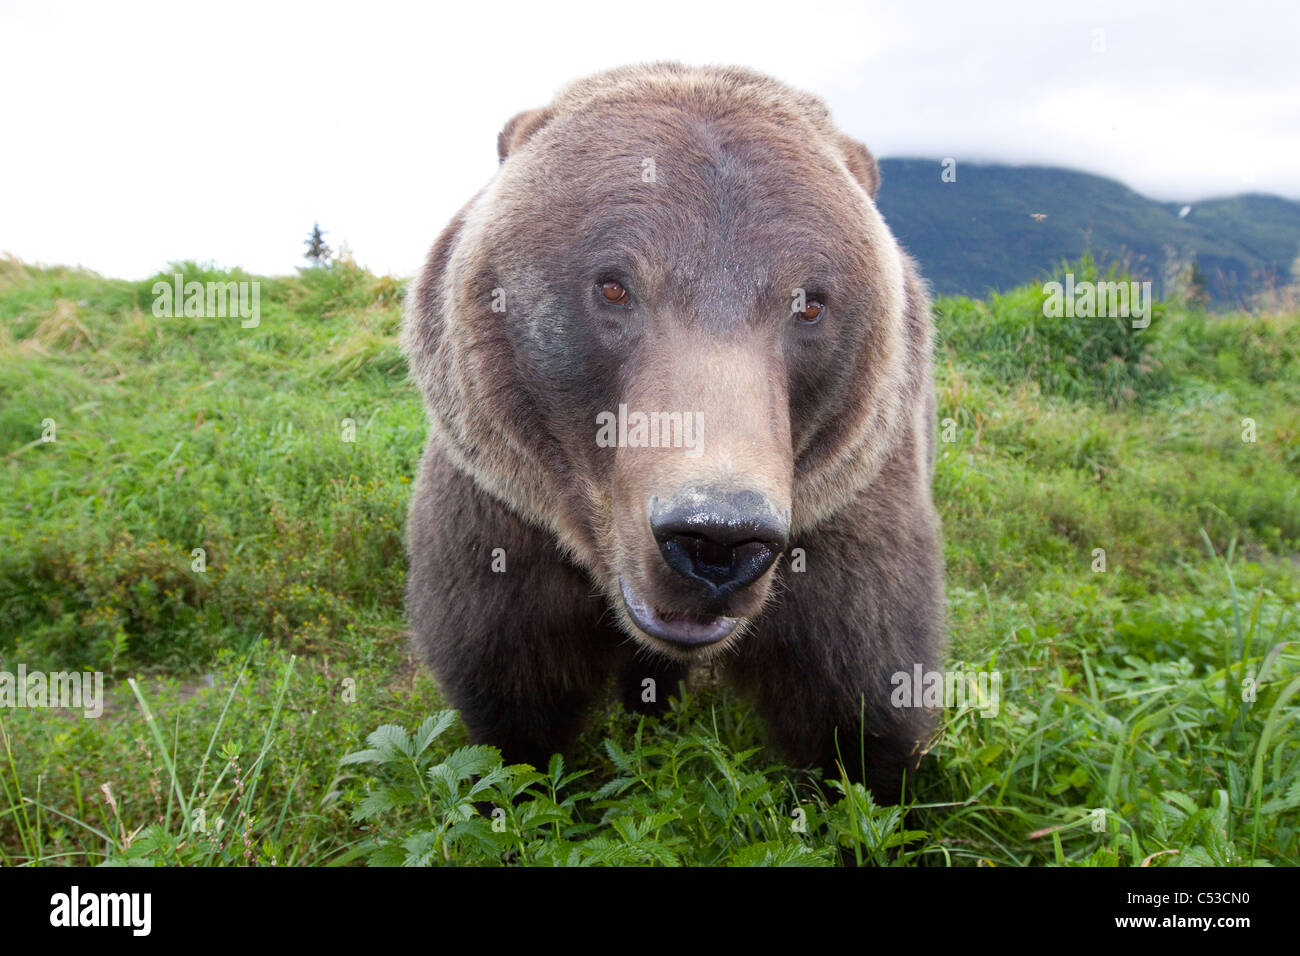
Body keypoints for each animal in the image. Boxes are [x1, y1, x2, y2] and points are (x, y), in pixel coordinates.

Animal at [402, 62, 944, 804]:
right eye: (613, 286)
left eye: (810, 302)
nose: (717, 537)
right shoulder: (501, 515)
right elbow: (507, 693)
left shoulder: (846, 524)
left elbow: (863, 702)